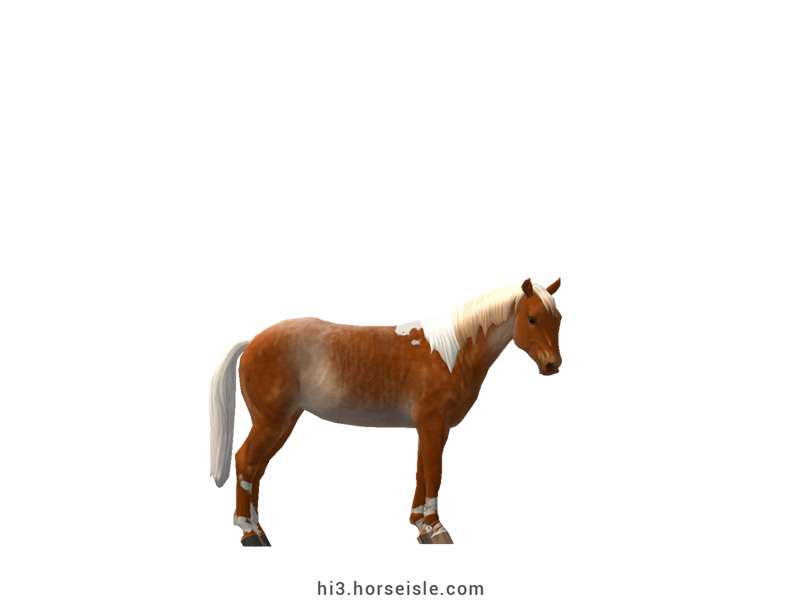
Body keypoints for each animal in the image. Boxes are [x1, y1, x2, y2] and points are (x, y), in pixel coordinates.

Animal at [209, 277, 561, 539]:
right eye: (532, 318)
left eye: (555, 317)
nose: (551, 365)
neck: (450, 353)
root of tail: (250, 343)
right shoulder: (432, 423)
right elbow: (434, 471)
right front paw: (435, 527)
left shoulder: (430, 426)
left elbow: (422, 470)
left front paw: (418, 521)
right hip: (269, 421)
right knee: (245, 462)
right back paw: (247, 526)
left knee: (246, 463)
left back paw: (250, 520)